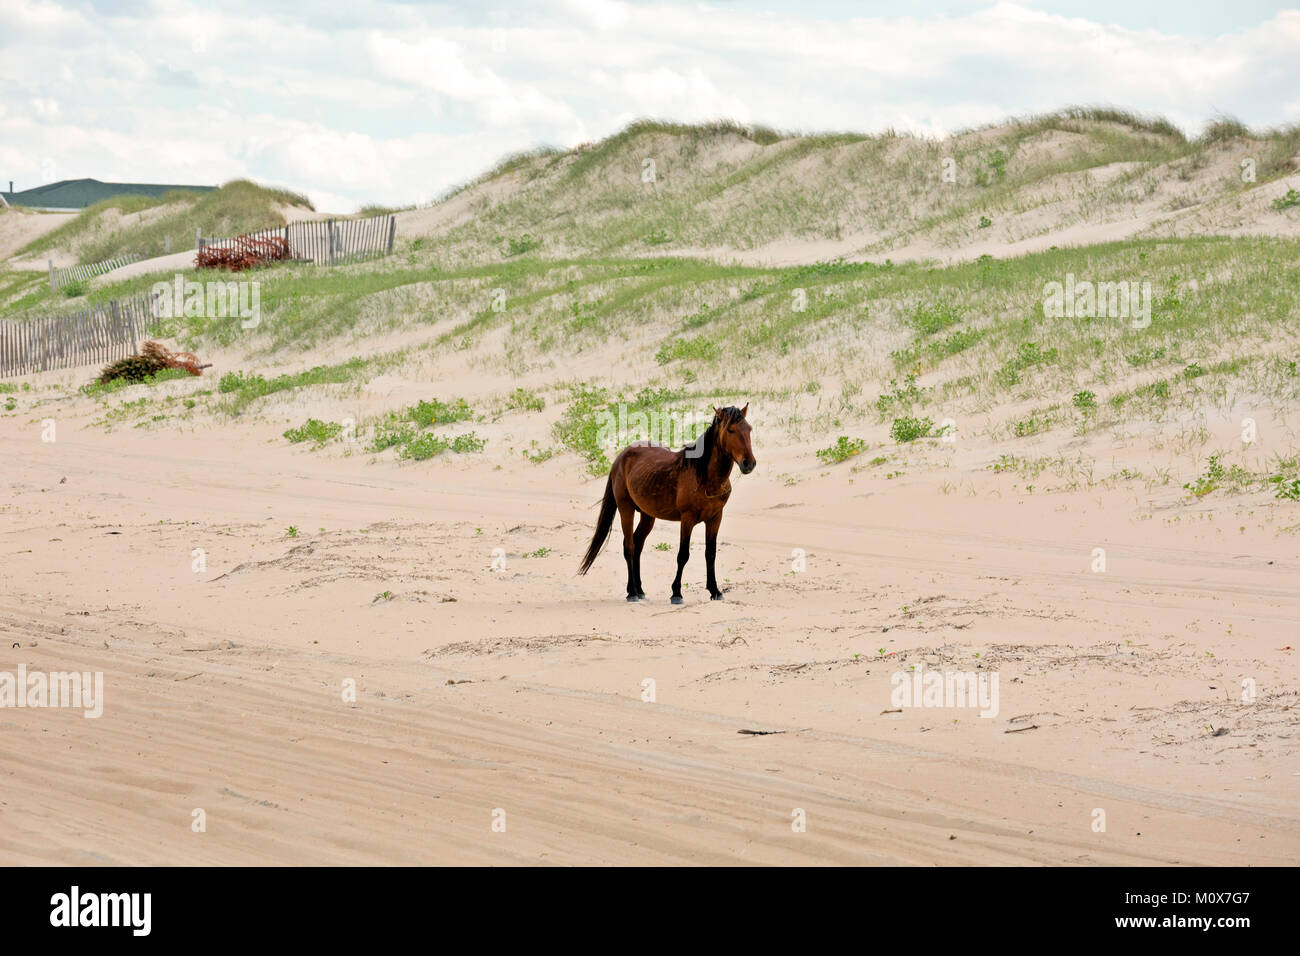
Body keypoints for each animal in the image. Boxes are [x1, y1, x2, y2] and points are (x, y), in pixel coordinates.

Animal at [578, 404, 756, 604]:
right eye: (731, 430)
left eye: (749, 429)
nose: (749, 464)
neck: (704, 477)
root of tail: (621, 458)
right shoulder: (687, 519)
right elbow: (683, 555)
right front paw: (676, 593)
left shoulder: (715, 518)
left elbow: (710, 554)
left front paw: (715, 591)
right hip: (626, 509)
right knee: (629, 546)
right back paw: (632, 592)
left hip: (648, 516)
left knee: (637, 544)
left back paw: (639, 589)